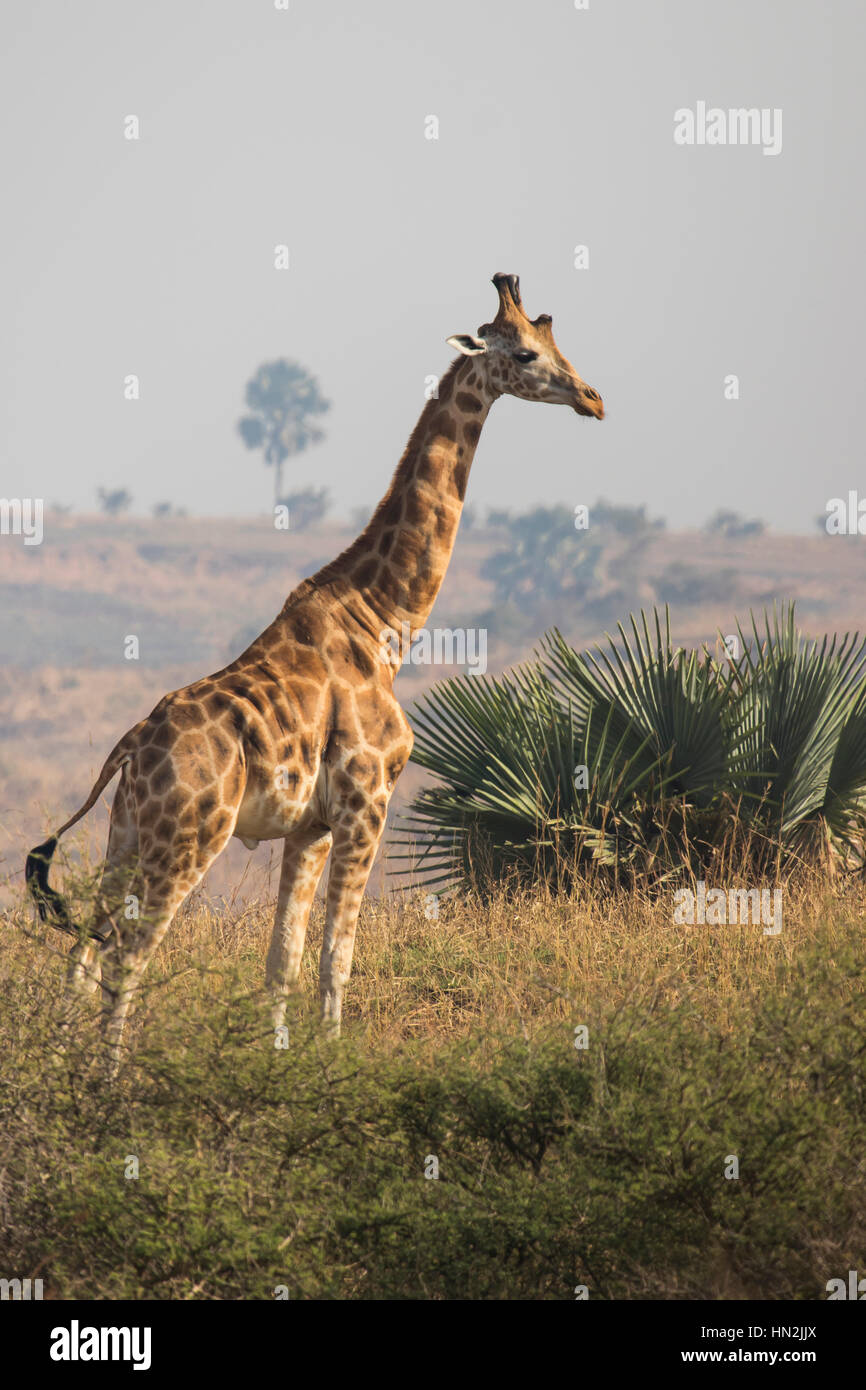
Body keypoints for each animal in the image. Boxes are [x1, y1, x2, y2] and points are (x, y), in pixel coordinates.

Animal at [26, 273, 603, 1070]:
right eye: (524, 353)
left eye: (556, 343)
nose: (593, 398)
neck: (385, 622)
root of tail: (131, 747)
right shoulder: (367, 802)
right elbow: (338, 956)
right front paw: (334, 1067)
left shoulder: (310, 828)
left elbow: (283, 962)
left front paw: (282, 1067)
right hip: (189, 836)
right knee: (128, 954)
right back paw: (110, 1083)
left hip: (127, 832)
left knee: (84, 950)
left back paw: (60, 1076)